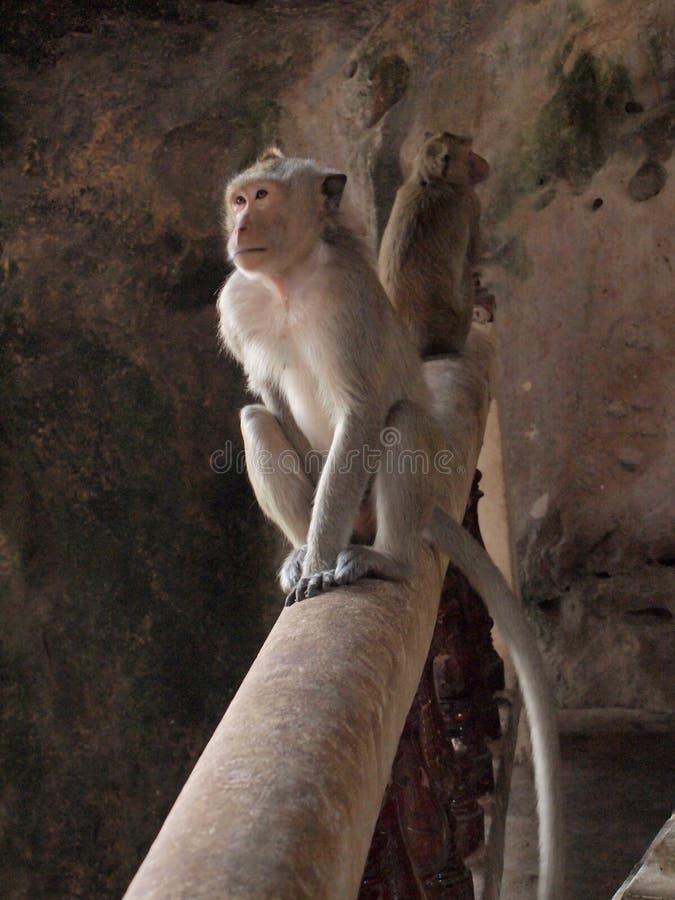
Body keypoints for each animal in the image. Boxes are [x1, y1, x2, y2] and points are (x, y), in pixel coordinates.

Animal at [378, 131, 490, 357]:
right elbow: (473, 254)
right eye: (469, 154)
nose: (483, 162)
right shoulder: (470, 201)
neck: (430, 181)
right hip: (455, 327)